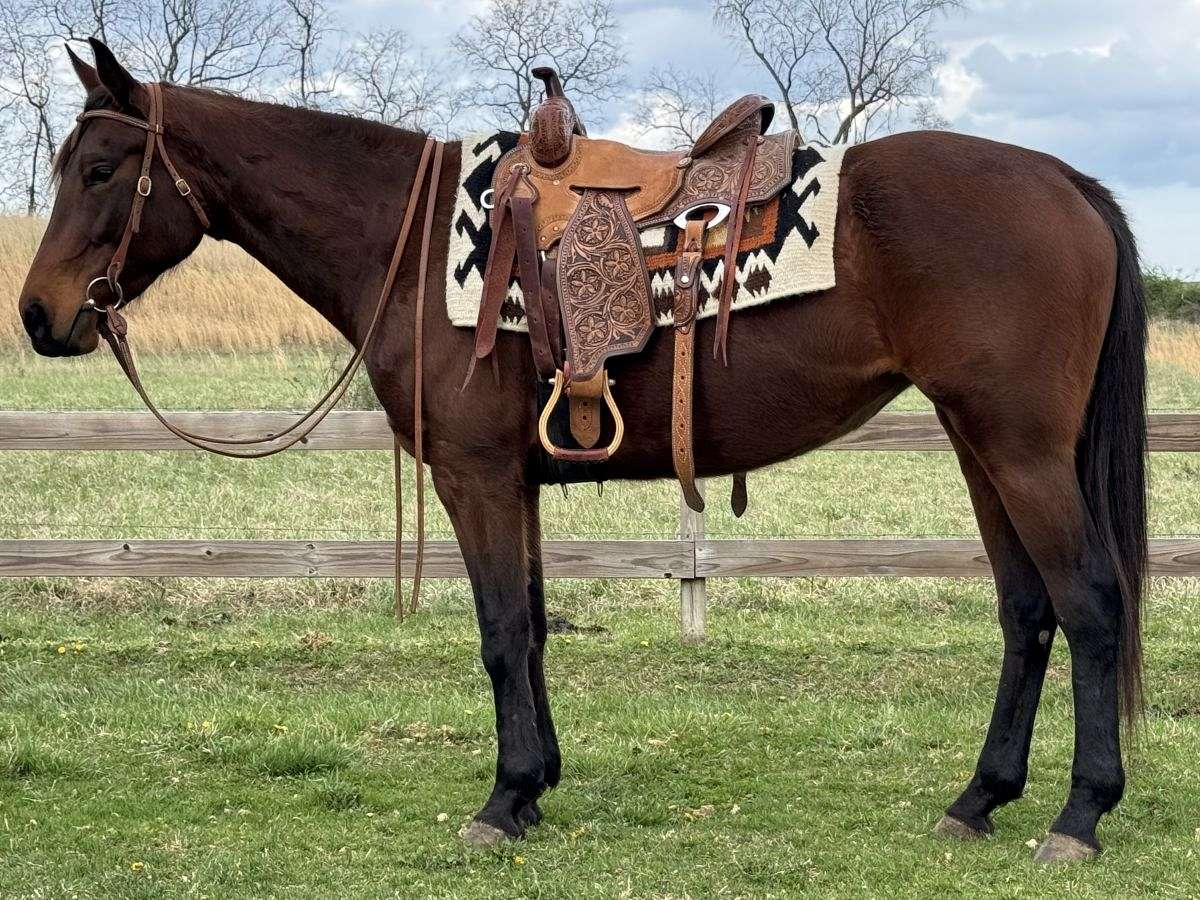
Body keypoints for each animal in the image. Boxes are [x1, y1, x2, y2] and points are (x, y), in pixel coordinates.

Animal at [17, 39, 1148, 863]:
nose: (37, 316)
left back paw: (1079, 816)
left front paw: (501, 800)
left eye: (104, 168)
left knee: (1091, 604)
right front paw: (534, 789)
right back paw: (980, 799)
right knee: (1027, 613)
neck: (407, 241)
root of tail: (1064, 180)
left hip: (1022, 451)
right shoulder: (513, 481)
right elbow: (532, 631)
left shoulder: (474, 476)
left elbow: (501, 633)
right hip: (979, 446)